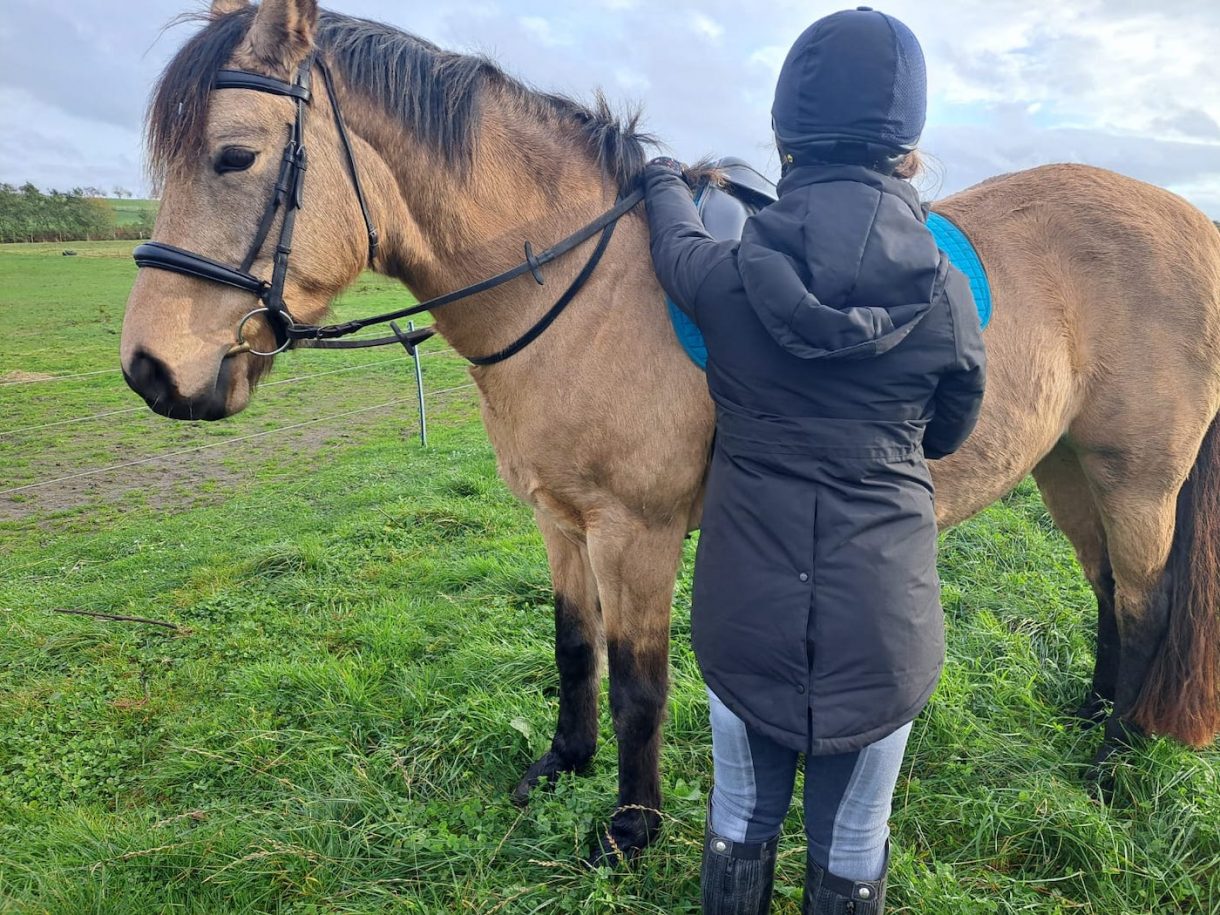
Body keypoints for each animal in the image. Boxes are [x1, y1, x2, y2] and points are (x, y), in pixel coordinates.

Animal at [121, 0, 1220, 863]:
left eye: (234, 156)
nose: (149, 370)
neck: (582, 292)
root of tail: (1190, 224)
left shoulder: (636, 534)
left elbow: (638, 684)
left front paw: (630, 827)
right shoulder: (559, 522)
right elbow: (573, 649)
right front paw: (562, 765)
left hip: (1136, 479)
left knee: (1147, 603)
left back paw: (1113, 759)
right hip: (1068, 469)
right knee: (1108, 594)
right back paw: (1094, 715)